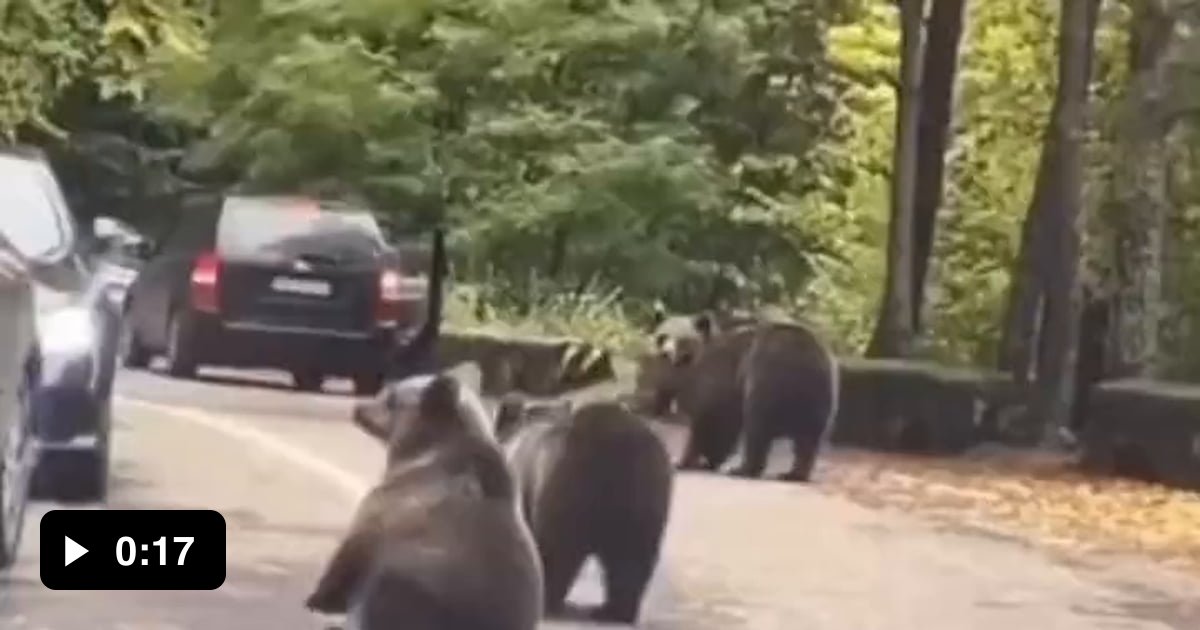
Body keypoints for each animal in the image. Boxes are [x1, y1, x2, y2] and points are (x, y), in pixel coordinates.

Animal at [306, 374, 543, 630]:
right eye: (388, 392)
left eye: (391, 399)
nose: (358, 409)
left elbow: (354, 548)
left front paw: (319, 599)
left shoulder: (394, 507)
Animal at [494, 395, 674, 625]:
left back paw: (548, 603)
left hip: (565, 481)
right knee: (633, 557)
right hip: (647, 490)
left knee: (557, 550)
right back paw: (614, 611)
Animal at [644, 306, 840, 482]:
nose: (666, 353)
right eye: (663, 336)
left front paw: (686, 461)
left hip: (767, 378)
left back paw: (743, 469)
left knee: (758, 427)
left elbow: (712, 419)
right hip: (818, 399)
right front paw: (708, 459)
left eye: (682, 339)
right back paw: (793, 473)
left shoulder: (720, 374)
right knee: (807, 441)